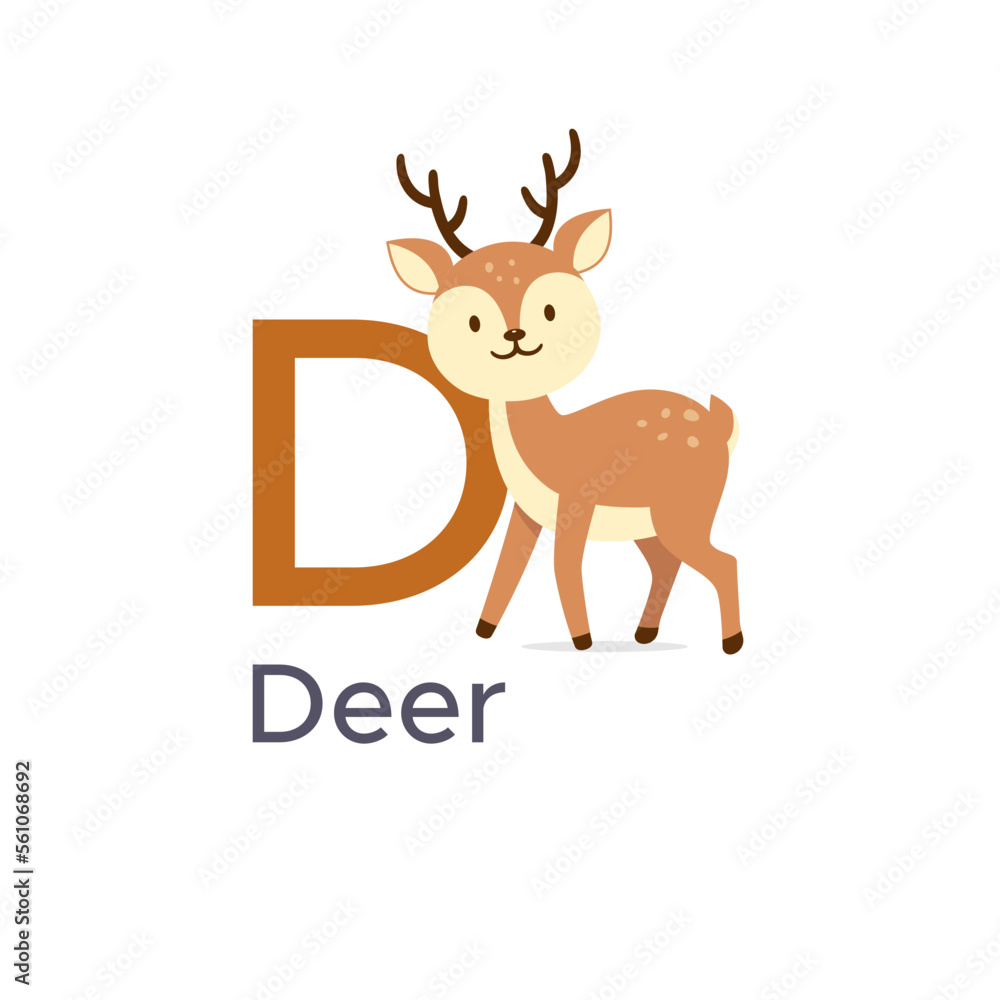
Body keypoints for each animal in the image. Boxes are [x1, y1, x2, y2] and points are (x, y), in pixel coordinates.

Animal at [387, 130, 743, 654]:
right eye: (472, 321)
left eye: (550, 310)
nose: (514, 335)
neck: (544, 444)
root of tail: (721, 426)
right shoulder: (527, 512)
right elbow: (507, 567)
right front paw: (484, 631)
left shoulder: (577, 501)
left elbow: (562, 568)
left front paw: (582, 640)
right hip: (652, 522)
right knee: (667, 562)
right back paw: (644, 633)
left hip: (685, 510)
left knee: (722, 561)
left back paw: (729, 642)